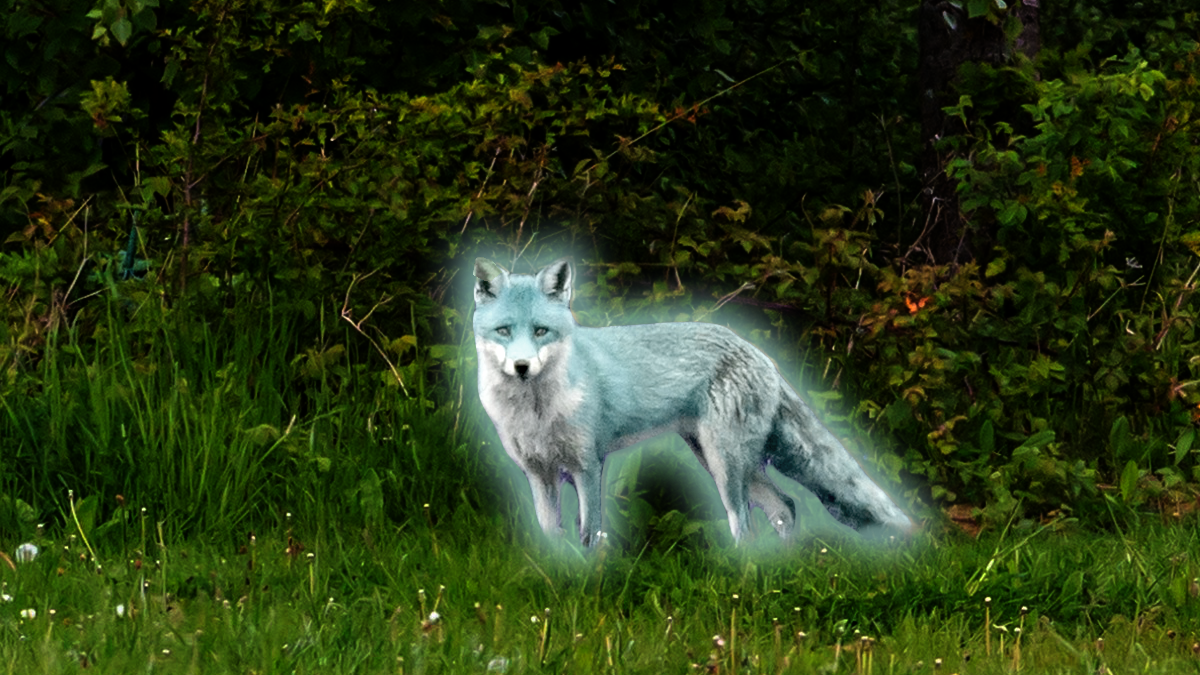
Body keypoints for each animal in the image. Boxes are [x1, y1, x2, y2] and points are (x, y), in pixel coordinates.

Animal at [472, 257, 912, 547]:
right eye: (504, 330)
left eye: (541, 331)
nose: (522, 366)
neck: (536, 413)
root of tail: (759, 352)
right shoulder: (538, 474)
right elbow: (551, 533)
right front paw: (556, 573)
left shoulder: (588, 465)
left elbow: (590, 533)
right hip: (717, 458)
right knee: (785, 506)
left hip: (724, 463)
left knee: (746, 522)